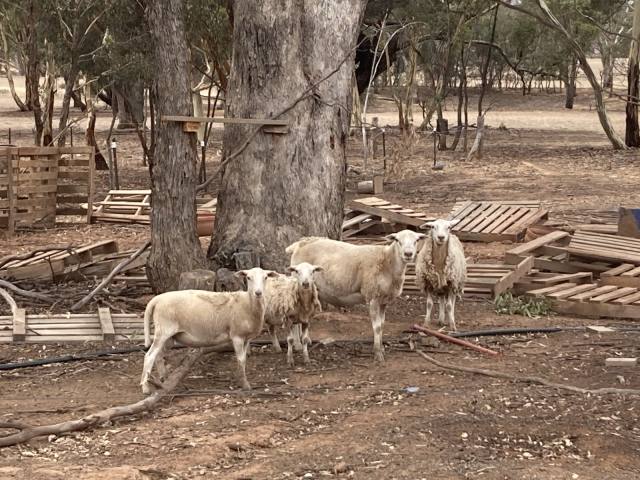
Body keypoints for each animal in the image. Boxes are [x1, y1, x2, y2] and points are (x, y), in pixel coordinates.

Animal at [140, 267, 278, 394]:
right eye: (248, 278)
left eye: (266, 277)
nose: (258, 293)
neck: (247, 304)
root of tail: (157, 299)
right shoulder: (237, 336)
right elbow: (241, 360)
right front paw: (245, 385)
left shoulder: (246, 338)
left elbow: (243, 359)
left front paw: (241, 381)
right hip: (163, 330)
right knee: (149, 356)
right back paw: (146, 387)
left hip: (170, 337)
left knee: (159, 355)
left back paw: (163, 378)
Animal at [286, 229, 426, 363]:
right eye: (397, 240)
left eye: (416, 240)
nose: (408, 254)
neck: (387, 262)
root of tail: (300, 243)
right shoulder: (373, 297)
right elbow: (376, 327)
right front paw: (378, 354)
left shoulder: (383, 301)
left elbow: (382, 325)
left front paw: (381, 348)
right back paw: (298, 345)